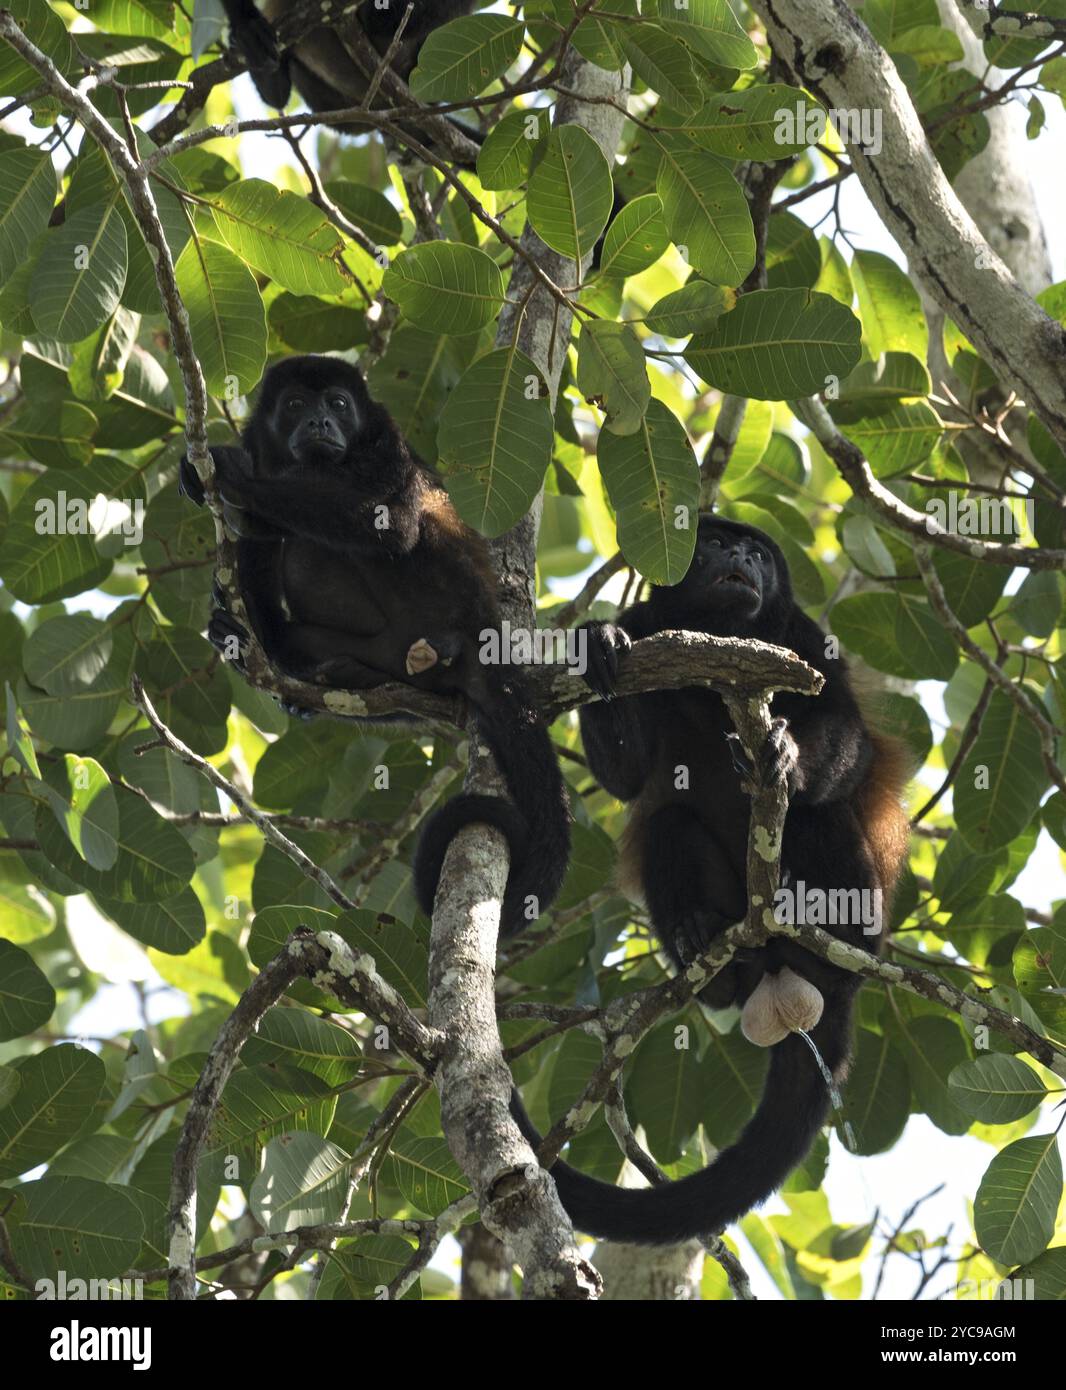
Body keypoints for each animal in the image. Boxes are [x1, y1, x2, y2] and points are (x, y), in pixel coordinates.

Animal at [178, 354, 570, 935]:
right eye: (296, 403)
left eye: (339, 404)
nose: (320, 422)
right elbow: (259, 534)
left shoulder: (384, 438)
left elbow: (391, 521)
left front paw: (232, 474)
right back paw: (284, 655)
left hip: (439, 588)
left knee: (394, 525)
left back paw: (440, 644)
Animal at [509, 515, 910, 1245]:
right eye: (716, 543)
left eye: (757, 551)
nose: (742, 557)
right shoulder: (647, 625)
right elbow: (629, 777)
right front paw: (597, 642)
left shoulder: (809, 639)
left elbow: (850, 737)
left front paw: (786, 757)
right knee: (670, 822)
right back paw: (706, 947)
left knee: (819, 814)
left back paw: (836, 938)